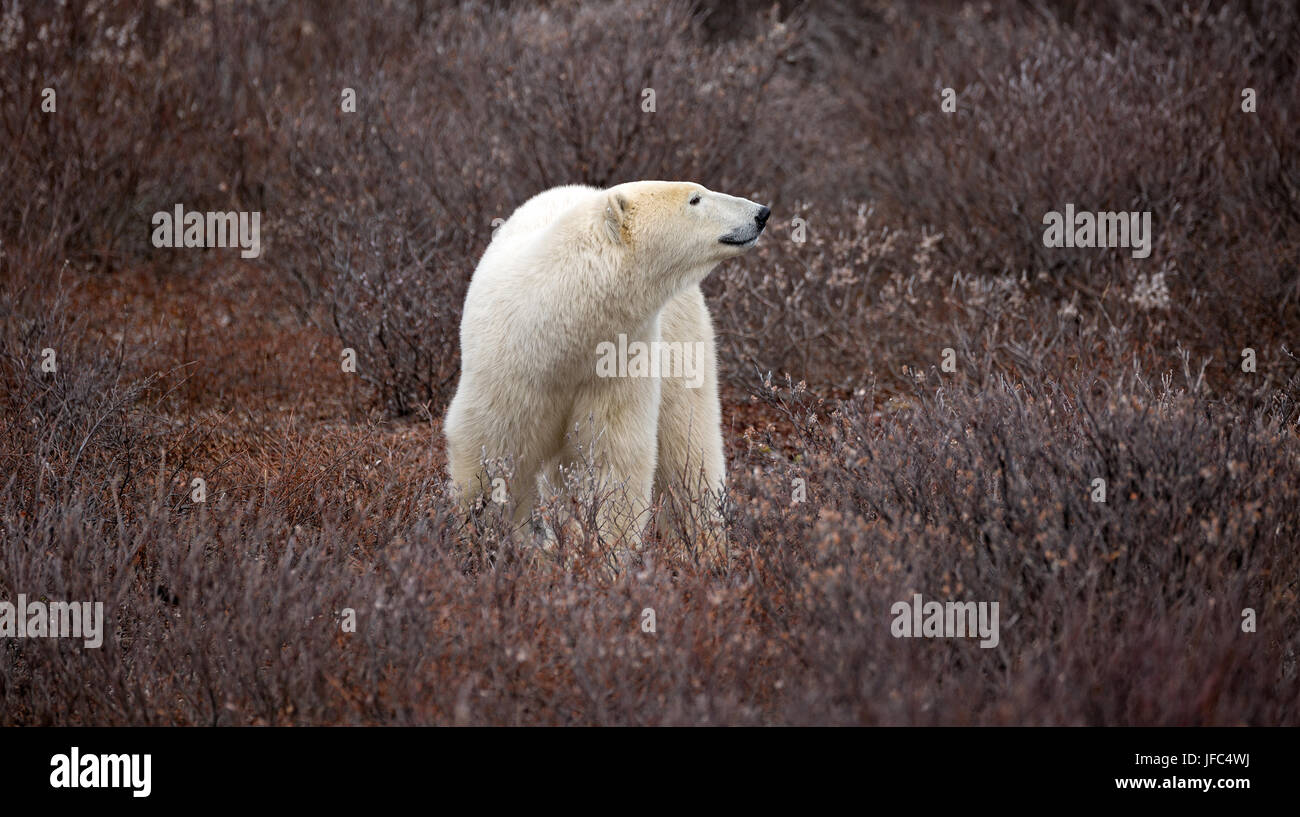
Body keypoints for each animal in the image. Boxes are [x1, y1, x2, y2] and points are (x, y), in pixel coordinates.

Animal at [444, 180, 770, 560]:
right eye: (695, 198)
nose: (762, 213)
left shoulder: (619, 362)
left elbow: (615, 457)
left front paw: (603, 554)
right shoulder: (507, 371)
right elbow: (488, 451)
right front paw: (486, 542)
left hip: (683, 334)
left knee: (688, 443)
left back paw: (704, 545)